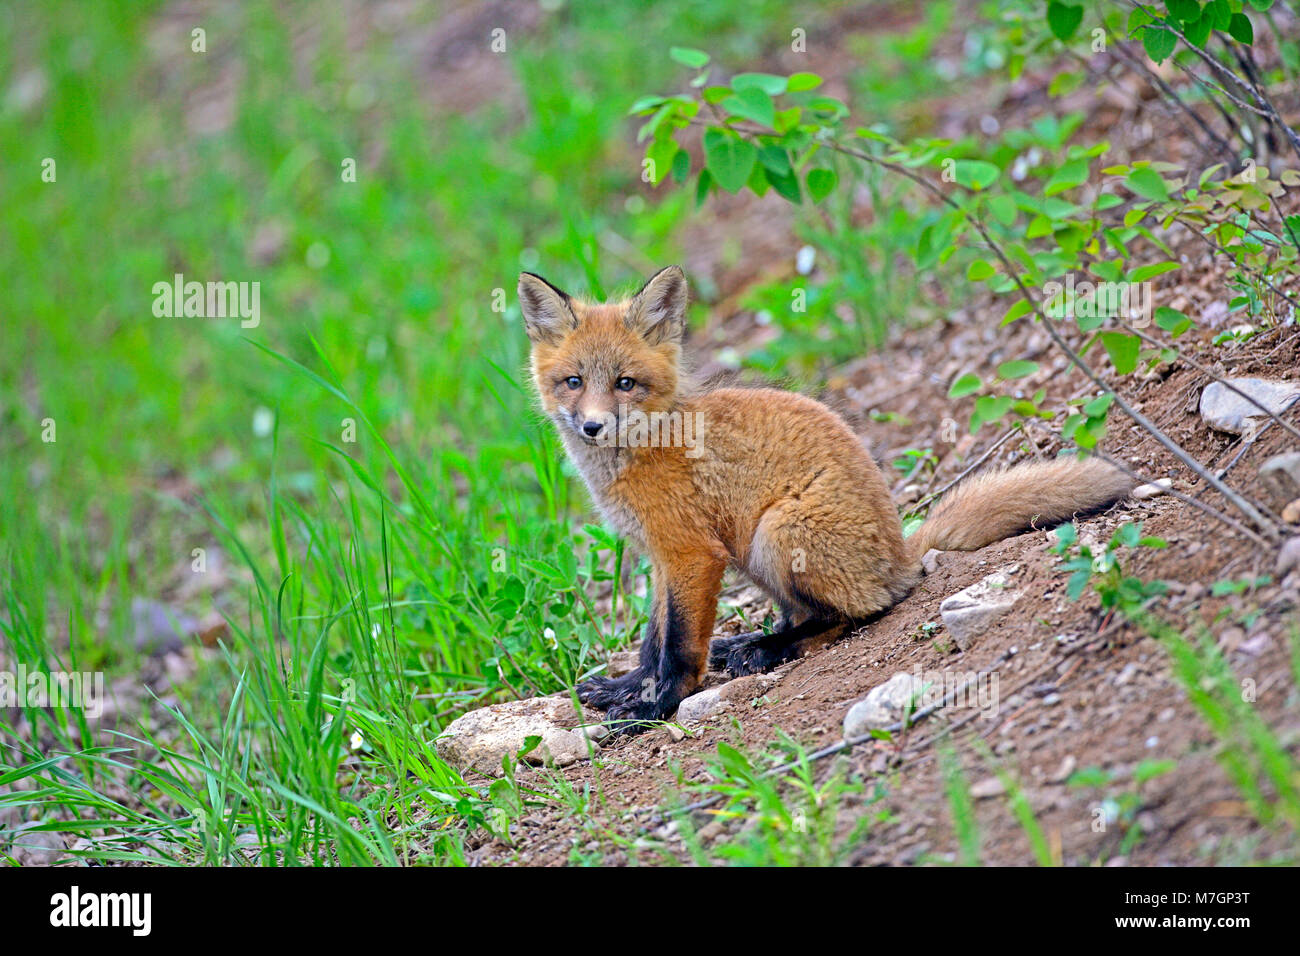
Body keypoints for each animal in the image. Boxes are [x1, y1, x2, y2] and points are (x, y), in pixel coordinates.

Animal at [518, 265, 1134, 733]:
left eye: (625, 383)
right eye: (574, 381)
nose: (593, 427)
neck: (647, 448)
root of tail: (901, 553)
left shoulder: (692, 554)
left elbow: (680, 649)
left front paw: (655, 708)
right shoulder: (662, 558)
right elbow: (653, 640)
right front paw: (627, 687)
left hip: (776, 533)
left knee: (861, 612)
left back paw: (770, 649)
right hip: (757, 553)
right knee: (806, 613)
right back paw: (755, 640)